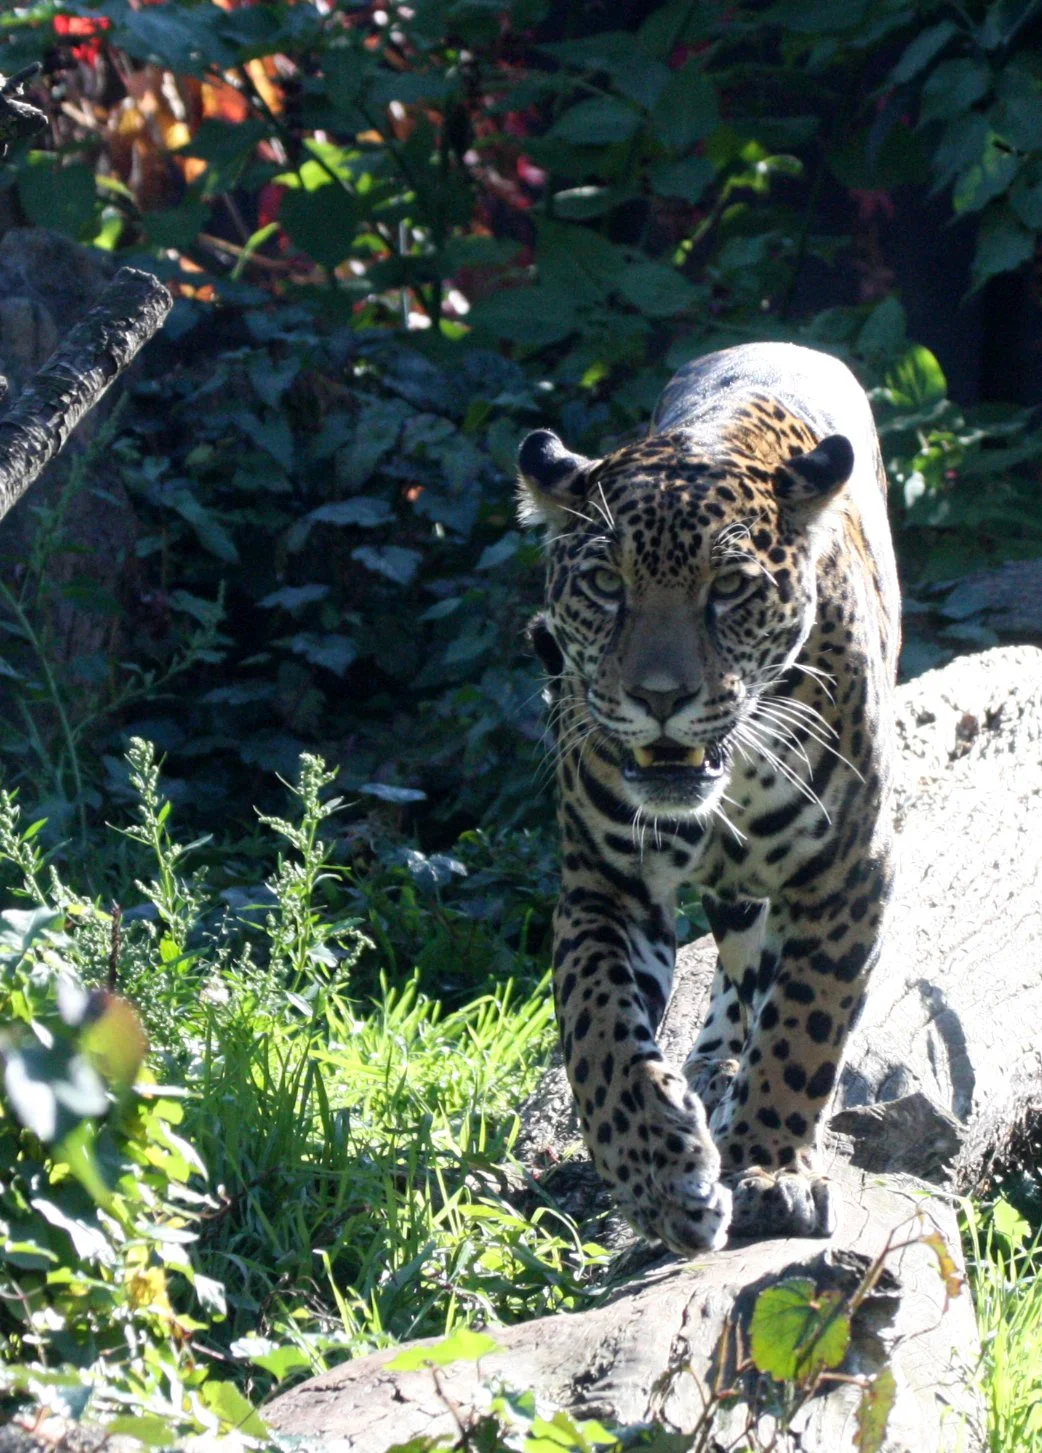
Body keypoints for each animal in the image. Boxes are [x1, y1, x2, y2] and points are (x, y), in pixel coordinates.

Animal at [516, 342, 899, 1250]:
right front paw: (659, 1175)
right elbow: (597, 1029)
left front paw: (766, 1166)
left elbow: (805, 1021)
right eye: (605, 584)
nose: (660, 696)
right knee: (737, 957)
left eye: (728, 589)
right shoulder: (604, 886)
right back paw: (714, 1066)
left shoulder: (849, 872)